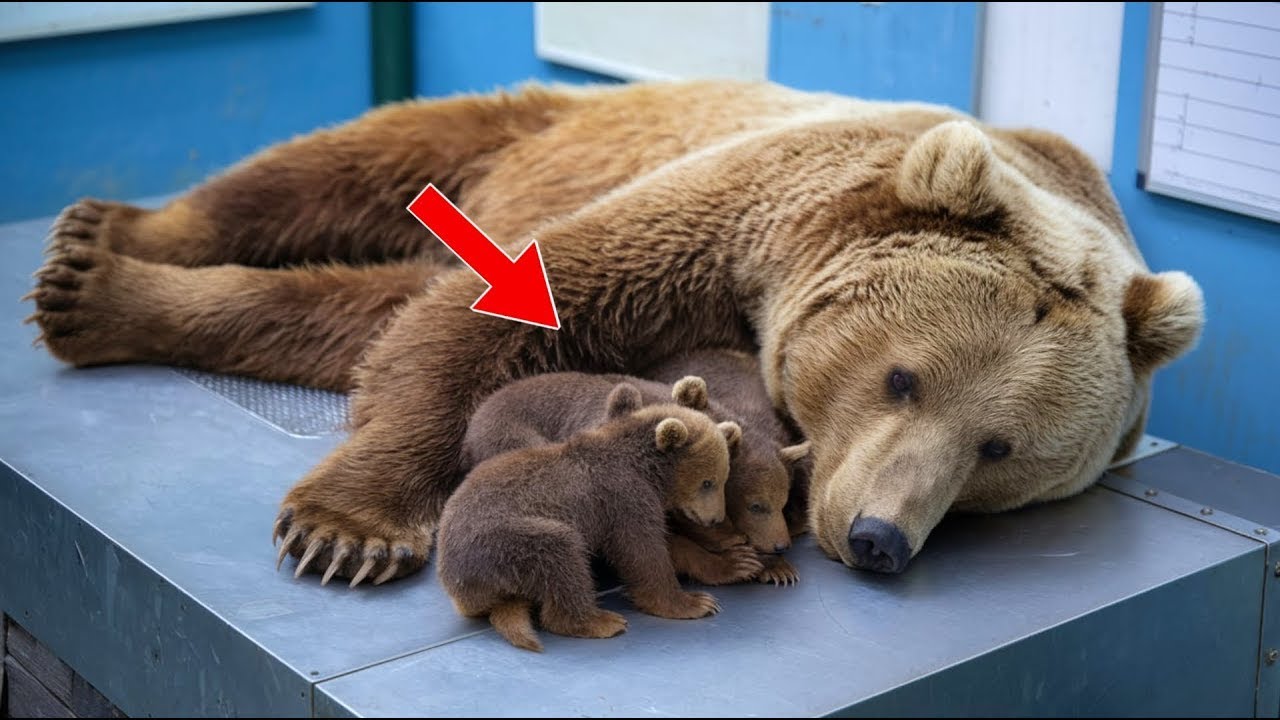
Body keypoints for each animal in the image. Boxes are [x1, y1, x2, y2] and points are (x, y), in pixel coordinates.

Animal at [437, 384, 739, 652]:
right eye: (708, 482)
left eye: (723, 480)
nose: (715, 518)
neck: (644, 469)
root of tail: (458, 591)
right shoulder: (623, 498)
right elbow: (642, 552)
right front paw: (696, 603)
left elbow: (668, 544)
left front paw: (733, 563)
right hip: (499, 542)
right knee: (559, 552)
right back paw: (600, 621)